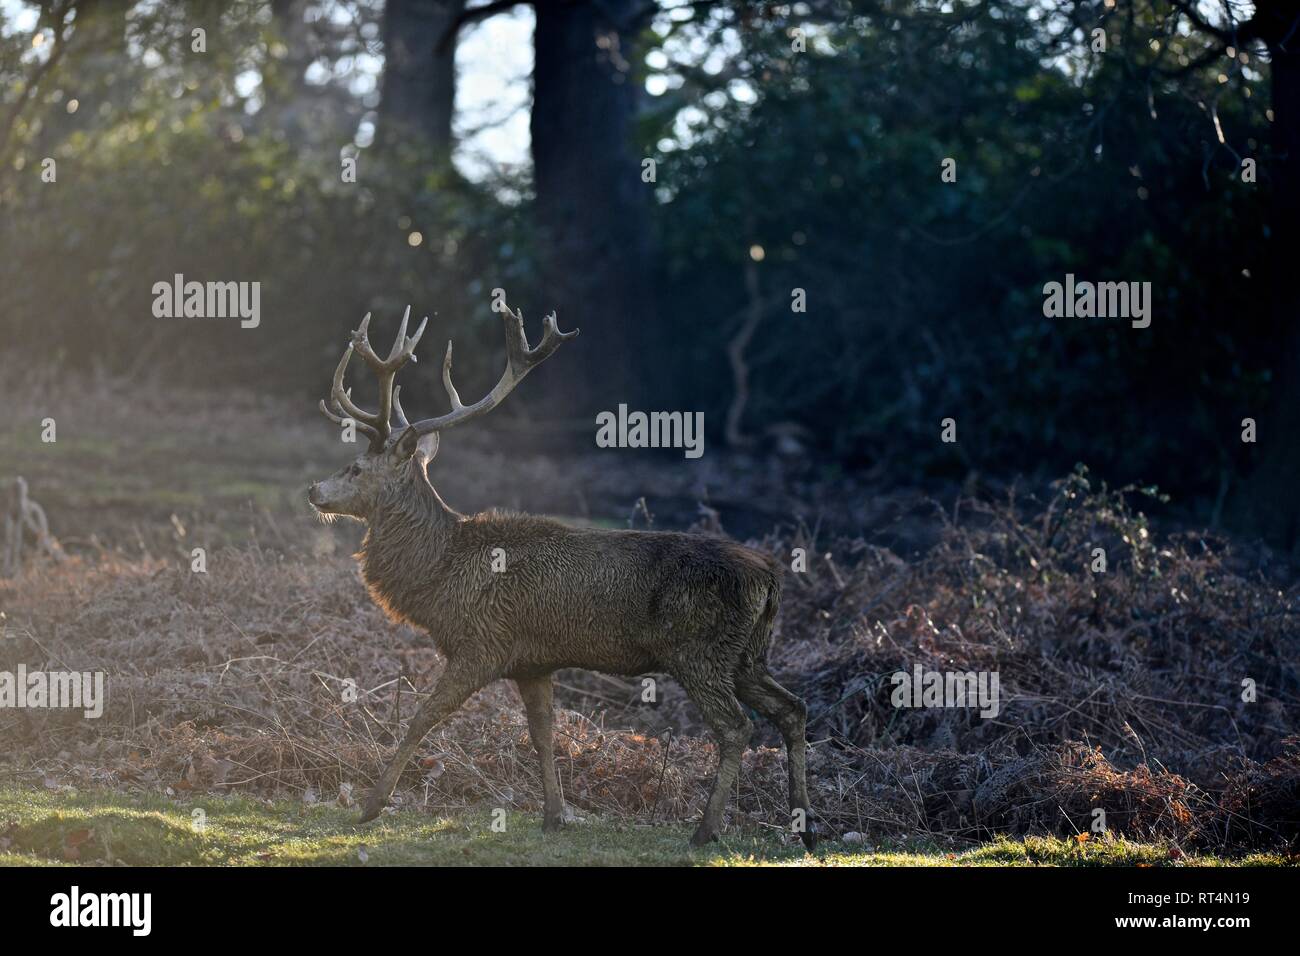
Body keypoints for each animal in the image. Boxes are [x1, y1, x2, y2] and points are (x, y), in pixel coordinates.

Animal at [307, 304, 815, 849]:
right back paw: (806, 829)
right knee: (792, 708)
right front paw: (554, 815)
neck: (441, 576)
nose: (314, 489)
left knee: (736, 726)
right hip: (748, 655)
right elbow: (543, 733)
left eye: (356, 468)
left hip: (699, 651)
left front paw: (371, 806)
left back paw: (706, 830)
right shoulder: (533, 661)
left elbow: (423, 717)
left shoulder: (482, 643)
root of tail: (770, 576)